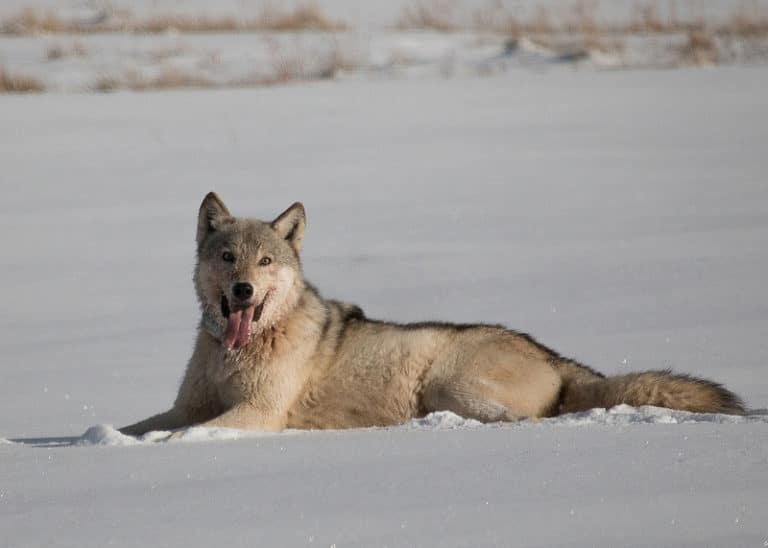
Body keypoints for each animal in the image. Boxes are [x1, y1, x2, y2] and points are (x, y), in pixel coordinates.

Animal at [120, 192, 744, 435]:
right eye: (228, 258)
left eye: (266, 260)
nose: (245, 290)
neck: (239, 350)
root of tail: (552, 355)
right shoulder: (188, 405)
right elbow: (139, 427)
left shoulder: (257, 413)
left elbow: (183, 435)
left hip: (451, 387)